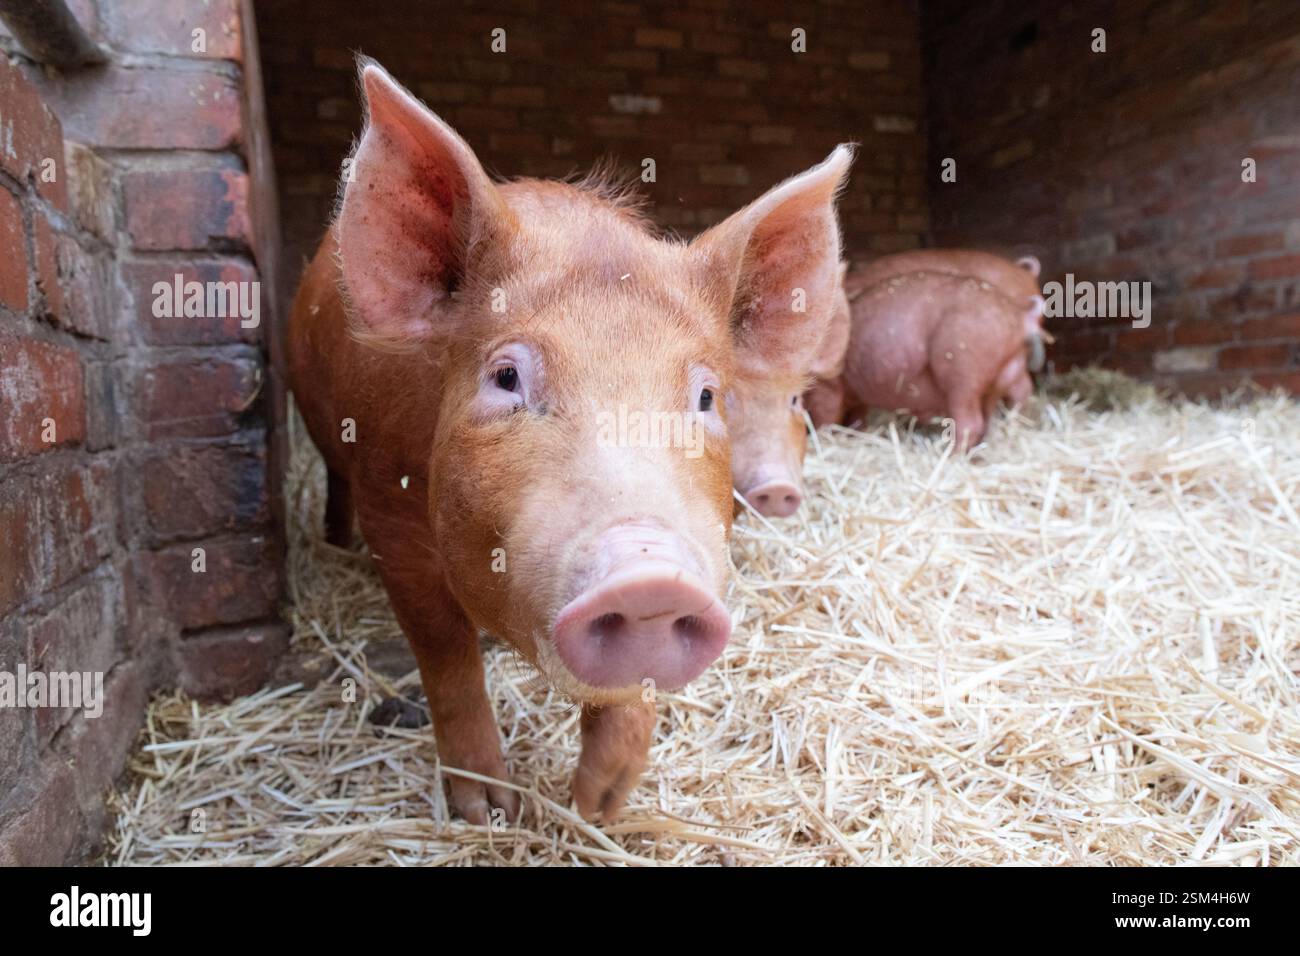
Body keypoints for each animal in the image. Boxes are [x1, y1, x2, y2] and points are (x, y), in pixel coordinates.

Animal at [287, 61, 852, 823]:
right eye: (505, 377)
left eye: (707, 397)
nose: (650, 575)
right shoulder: (389, 506)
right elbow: (445, 652)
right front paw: (488, 810)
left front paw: (597, 808)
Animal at [838, 271, 1045, 449]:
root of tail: (1021, 319)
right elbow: (857, 417)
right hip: (1004, 373)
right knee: (1011, 399)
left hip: (962, 368)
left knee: (970, 423)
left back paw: (952, 456)